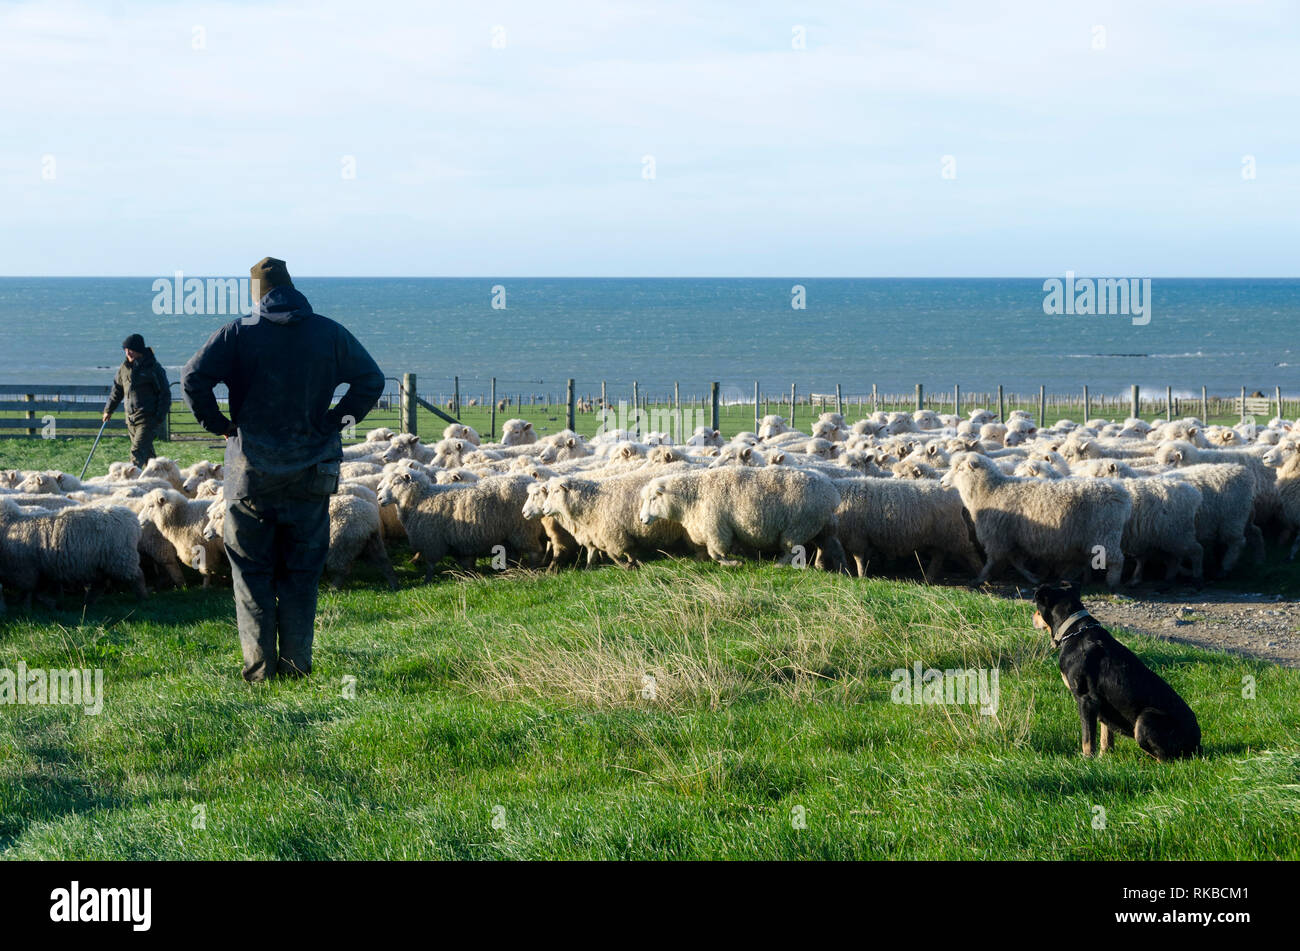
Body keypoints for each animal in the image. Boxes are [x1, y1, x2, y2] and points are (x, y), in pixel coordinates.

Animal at [0, 498, 146, 606]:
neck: (8, 525)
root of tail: (132, 518)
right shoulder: (38, 569)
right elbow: (36, 590)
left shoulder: (24, 570)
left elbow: (28, 590)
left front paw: (26, 605)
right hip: (102, 563)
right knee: (100, 584)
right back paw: (88, 602)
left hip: (122, 558)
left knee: (137, 577)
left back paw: (142, 598)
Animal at [377, 473, 545, 578]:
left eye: (395, 483)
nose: (379, 498)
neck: (420, 498)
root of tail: (530, 482)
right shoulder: (460, 542)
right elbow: (466, 564)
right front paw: (470, 577)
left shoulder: (433, 541)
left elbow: (431, 565)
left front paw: (427, 581)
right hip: (510, 535)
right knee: (516, 555)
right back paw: (511, 571)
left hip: (524, 529)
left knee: (535, 552)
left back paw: (533, 570)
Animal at [638, 466, 845, 570]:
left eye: (653, 498)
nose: (641, 519)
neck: (692, 496)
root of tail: (831, 491)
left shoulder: (717, 529)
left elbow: (716, 553)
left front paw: (733, 563)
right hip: (819, 526)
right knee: (830, 546)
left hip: (798, 527)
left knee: (792, 550)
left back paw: (779, 565)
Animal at [832, 477, 981, 578]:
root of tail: (957, 495)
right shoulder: (849, 538)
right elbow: (849, 557)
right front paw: (850, 573)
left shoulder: (856, 537)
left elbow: (858, 558)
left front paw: (861, 575)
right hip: (938, 536)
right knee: (939, 555)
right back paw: (928, 578)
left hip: (954, 532)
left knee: (970, 551)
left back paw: (979, 576)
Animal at [941, 452, 1131, 587]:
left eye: (960, 469)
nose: (941, 481)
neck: (990, 490)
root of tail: (1121, 494)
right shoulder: (1013, 538)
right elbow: (1016, 562)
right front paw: (1033, 578)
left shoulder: (997, 537)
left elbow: (992, 560)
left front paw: (980, 578)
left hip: (1105, 534)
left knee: (1117, 559)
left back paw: (1112, 582)